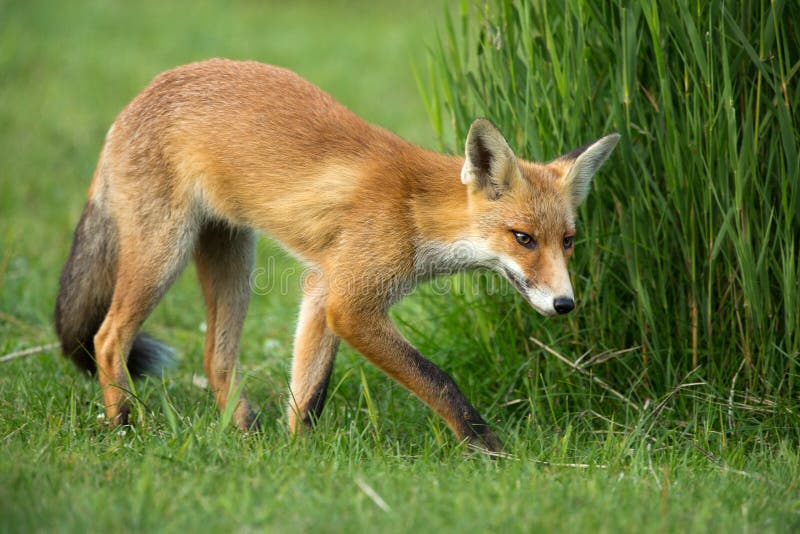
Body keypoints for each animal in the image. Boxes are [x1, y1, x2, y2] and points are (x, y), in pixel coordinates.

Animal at [55, 59, 618, 452]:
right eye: (524, 238)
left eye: (568, 241)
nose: (565, 304)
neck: (413, 208)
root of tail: (136, 101)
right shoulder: (350, 303)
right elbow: (438, 379)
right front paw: (489, 449)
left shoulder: (322, 288)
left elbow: (309, 391)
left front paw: (297, 455)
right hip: (163, 252)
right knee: (107, 337)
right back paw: (126, 427)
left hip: (233, 257)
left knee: (215, 357)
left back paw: (244, 435)